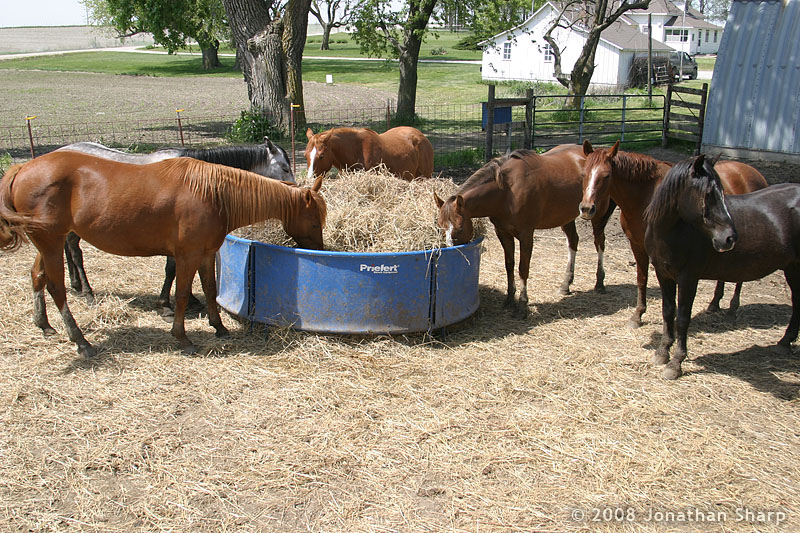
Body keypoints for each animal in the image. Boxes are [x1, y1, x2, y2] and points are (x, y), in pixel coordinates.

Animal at [56, 139, 294, 313]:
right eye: (284, 167)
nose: (295, 190)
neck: (196, 179)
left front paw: (190, 300)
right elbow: (172, 269)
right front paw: (166, 305)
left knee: (68, 249)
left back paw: (76, 284)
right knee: (75, 252)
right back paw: (87, 292)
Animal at [434, 145, 616, 318]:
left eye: (460, 227)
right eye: (440, 225)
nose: (451, 251)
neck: (506, 192)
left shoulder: (526, 234)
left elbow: (523, 268)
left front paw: (522, 306)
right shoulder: (503, 233)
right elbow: (509, 265)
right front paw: (509, 300)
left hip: (595, 214)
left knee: (599, 243)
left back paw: (599, 283)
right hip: (567, 217)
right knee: (573, 242)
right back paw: (566, 284)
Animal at [579, 140, 768, 327]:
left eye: (607, 176)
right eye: (584, 174)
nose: (587, 208)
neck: (647, 198)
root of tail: (755, 174)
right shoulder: (637, 245)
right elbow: (642, 278)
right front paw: (638, 315)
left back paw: (733, 308)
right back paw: (714, 304)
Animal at [643, 155, 800, 380]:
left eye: (722, 192)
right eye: (708, 194)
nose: (730, 238)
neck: (672, 232)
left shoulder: (688, 278)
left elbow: (682, 318)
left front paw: (676, 363)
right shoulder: (663, 274)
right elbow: (668, 311)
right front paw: (662, 352)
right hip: (792, 267)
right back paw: (785, 343)